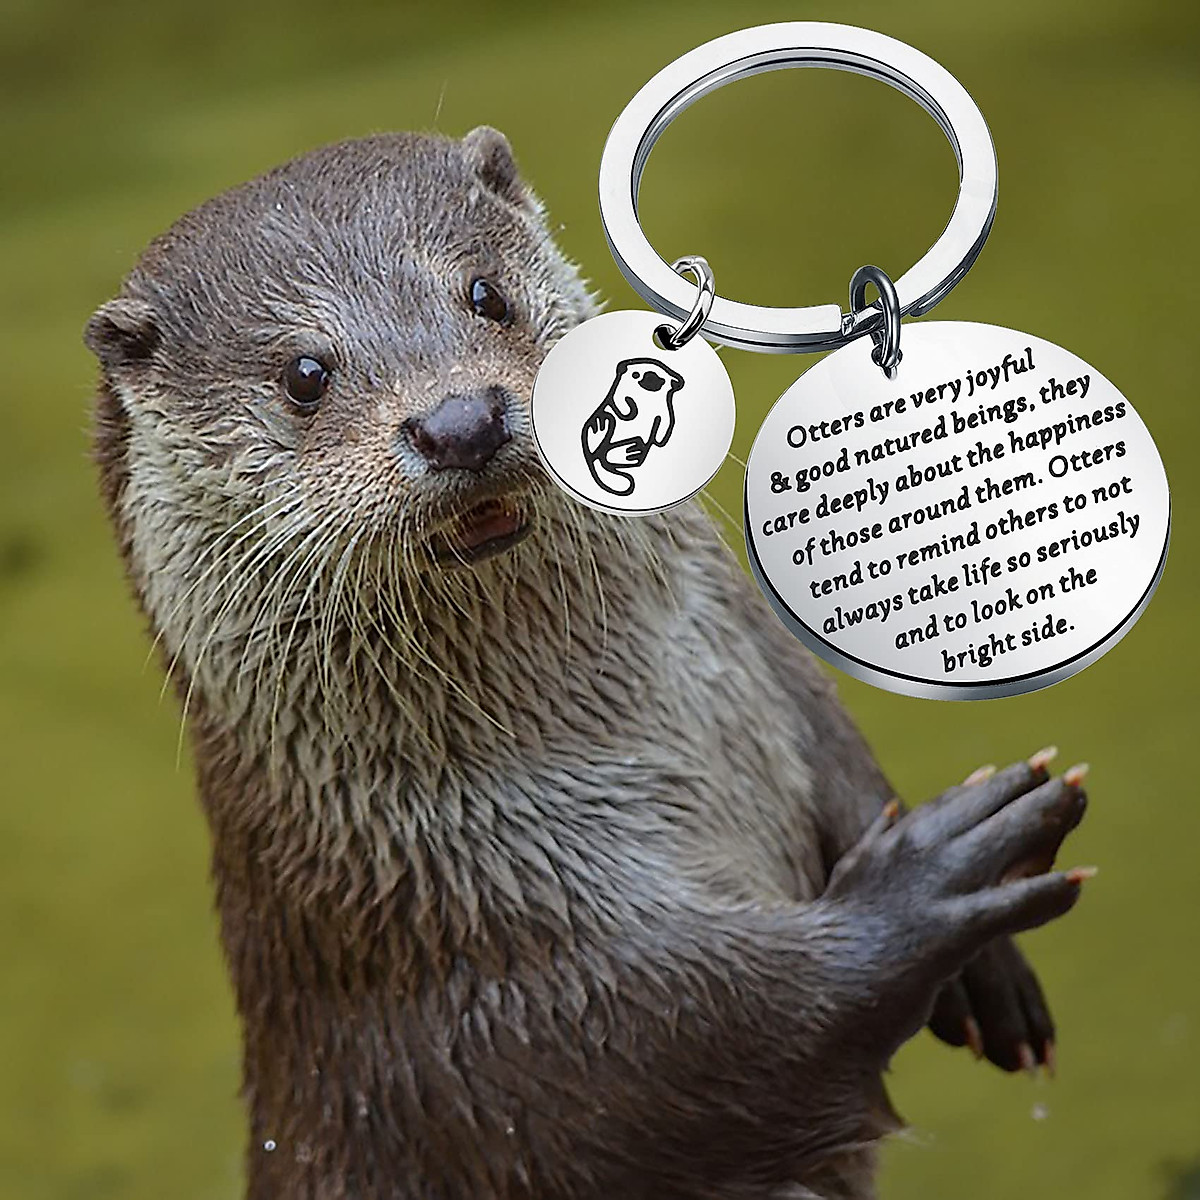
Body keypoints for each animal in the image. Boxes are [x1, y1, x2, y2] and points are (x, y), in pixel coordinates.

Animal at [85, 128, 1091, 1200]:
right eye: (304, 373)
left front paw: (989, 967)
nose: (459, 421)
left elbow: (838, 747)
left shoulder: (767, 675)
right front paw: (935, 881)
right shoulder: (478, 1003)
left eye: (485, 294)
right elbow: (692, 1050)